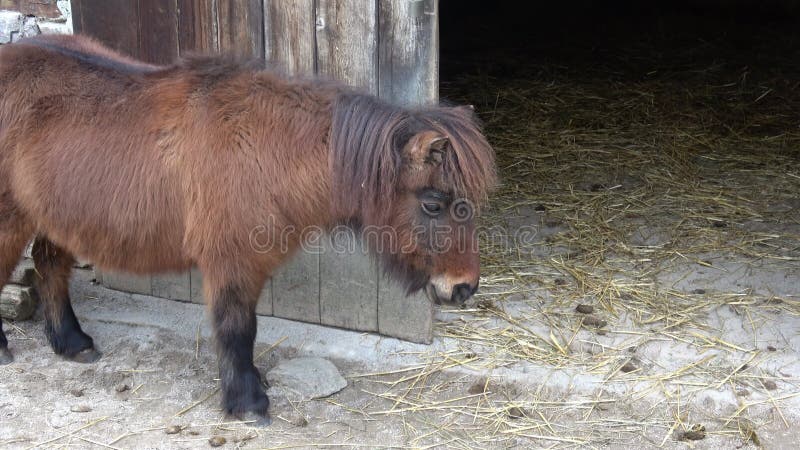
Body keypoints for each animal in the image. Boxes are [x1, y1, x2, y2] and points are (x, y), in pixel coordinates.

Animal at [0, 35, 497, 421]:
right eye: (433, 204)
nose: (464, 287)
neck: (269, 148)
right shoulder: (231, 262)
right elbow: (237, 328)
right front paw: (247, 402)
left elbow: (247, 329)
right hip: (11, 219)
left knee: (50, 268)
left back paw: (71, 342)